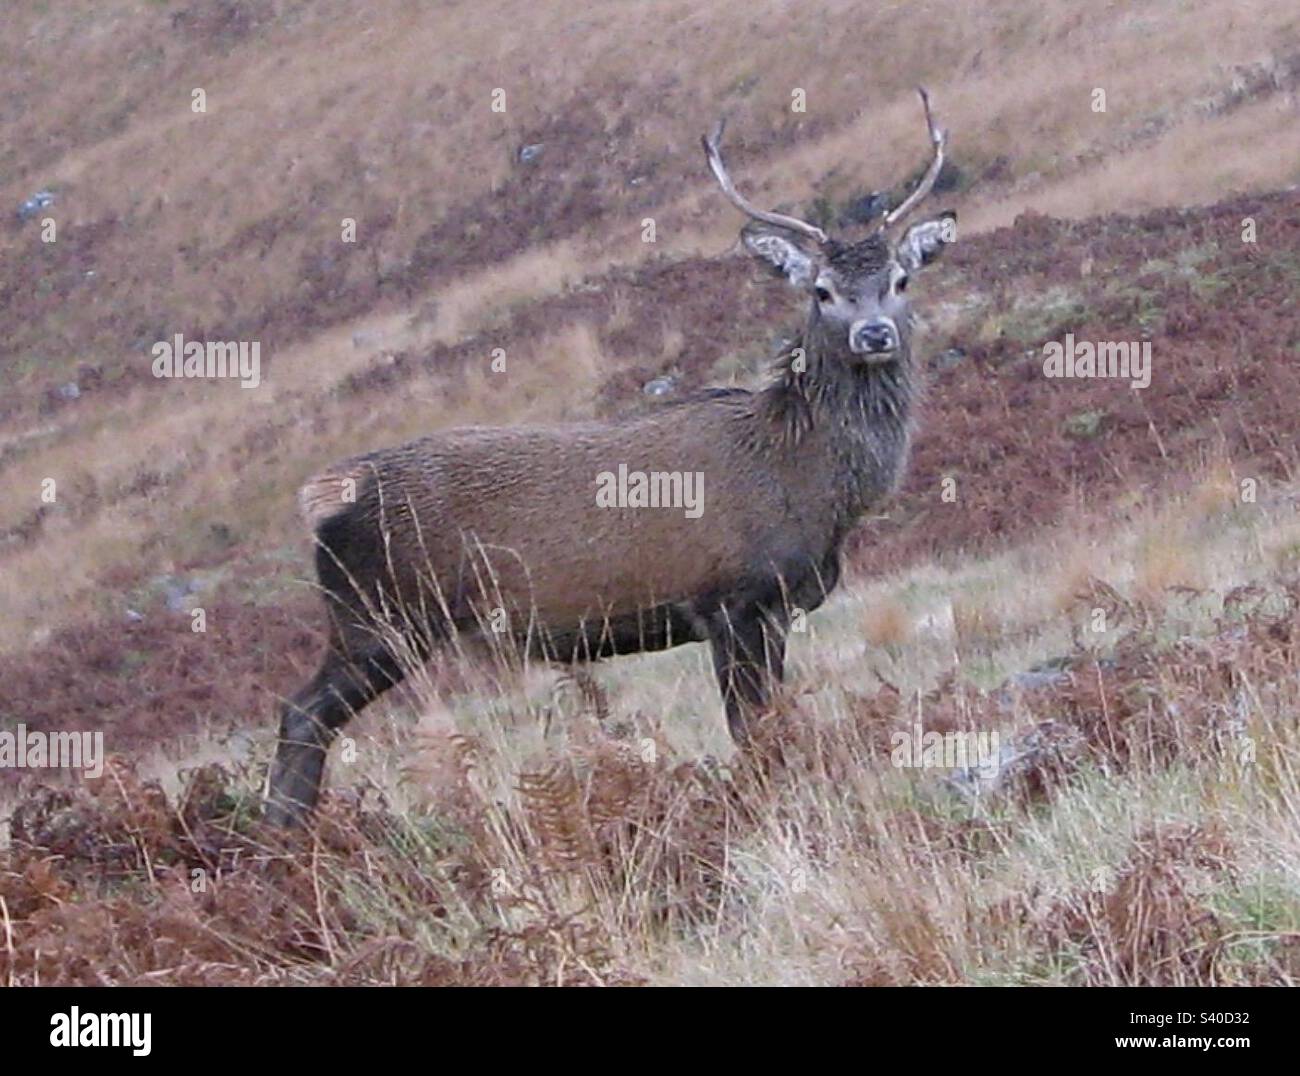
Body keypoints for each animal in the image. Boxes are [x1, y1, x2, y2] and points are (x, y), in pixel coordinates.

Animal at [265, 89, 956, 826]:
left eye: (901, 279)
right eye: (821, 291)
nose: (874, 333)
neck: (810, 482)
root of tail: (326, 491)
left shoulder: (774, 607)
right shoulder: (731, 597)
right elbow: (750, 726)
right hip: (377, 616)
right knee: (302, 713)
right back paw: (284, 838)